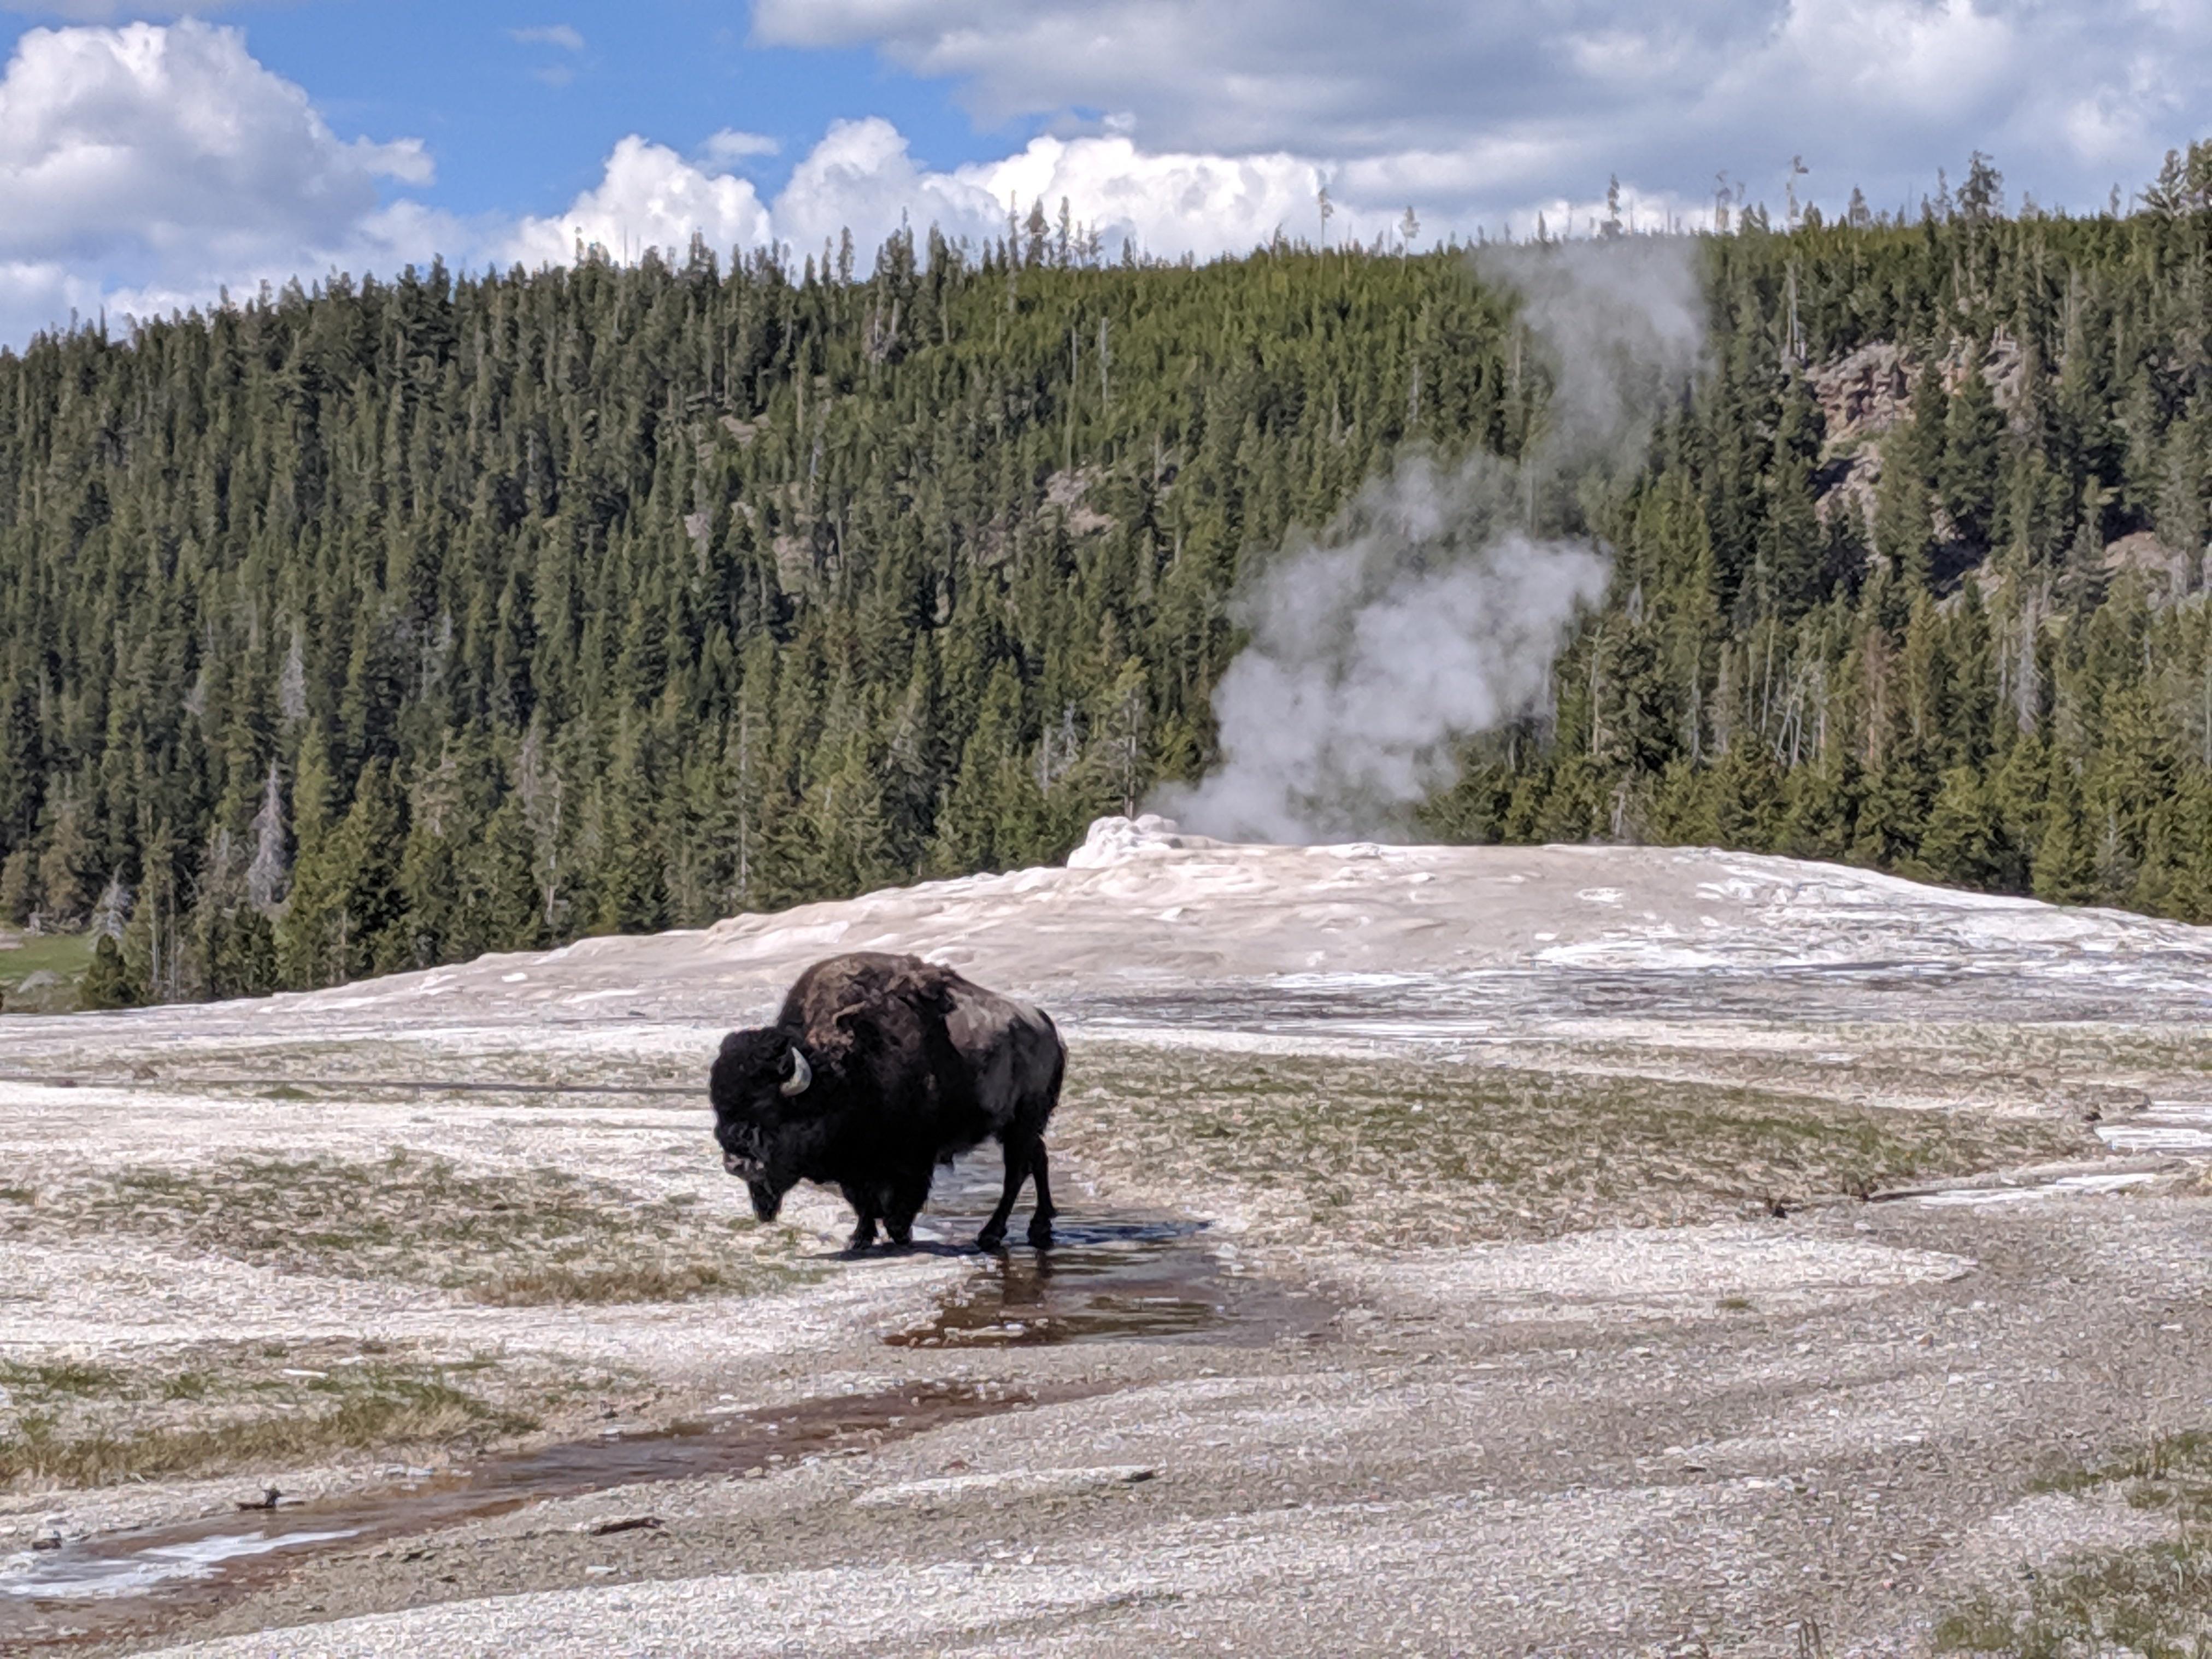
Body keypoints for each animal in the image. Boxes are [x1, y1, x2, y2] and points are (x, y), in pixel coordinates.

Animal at [710, 952, 1065, 1252]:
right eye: (719, 1111)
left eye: (767, 1108)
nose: (736, 1164)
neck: (844, 1074)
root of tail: (1045, 1025)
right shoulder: (855, 1165)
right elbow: (862, 1202)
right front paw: (859, 1239)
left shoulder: (914, 1158)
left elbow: (899, 1203)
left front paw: (899, 1235)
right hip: (1022, 1127)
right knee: (1038, 1159)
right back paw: (1040, 1228)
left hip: (1021, 1122)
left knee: (1016, 1173)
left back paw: (992, 1234)